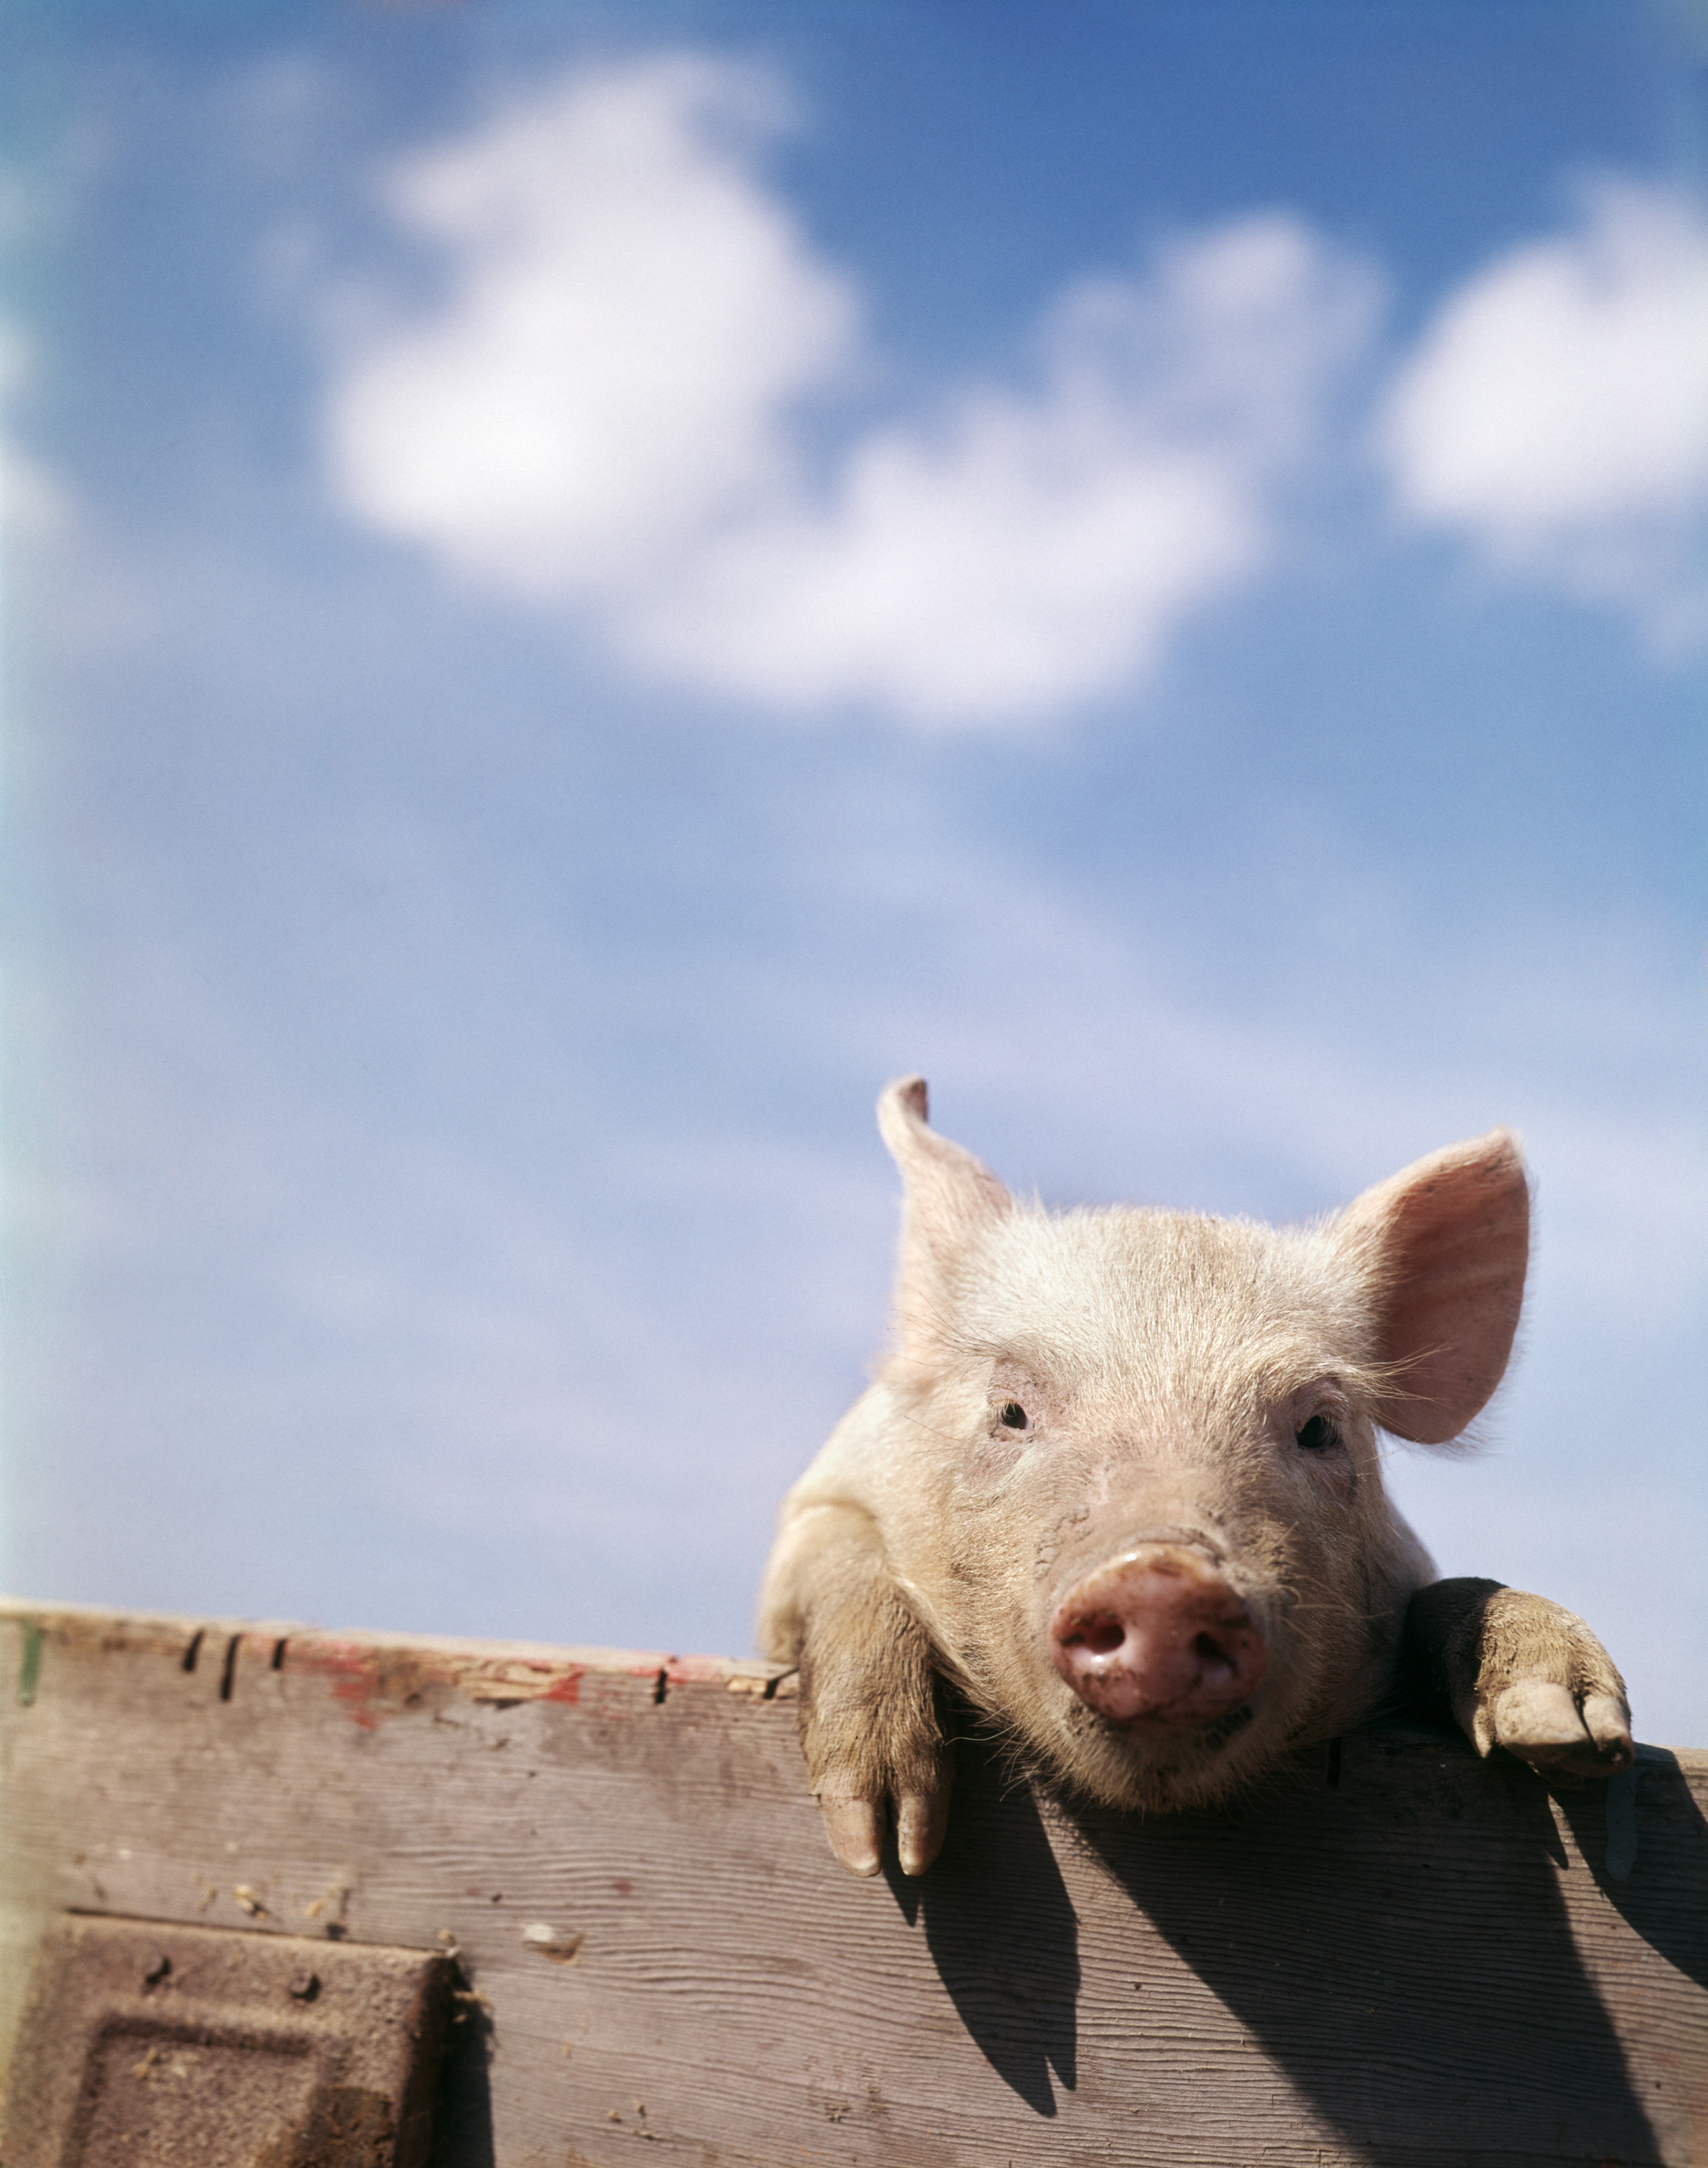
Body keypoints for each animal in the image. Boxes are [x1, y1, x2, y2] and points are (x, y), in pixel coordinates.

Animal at [758, 1076, 1633, 1879]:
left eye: (1318, 1427)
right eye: (1010, 1410)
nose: (1162, 1576)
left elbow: (1455, 1592)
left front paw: (1570, 1730)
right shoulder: (816, 1508)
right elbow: (841, 1561)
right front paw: (885, 1846)